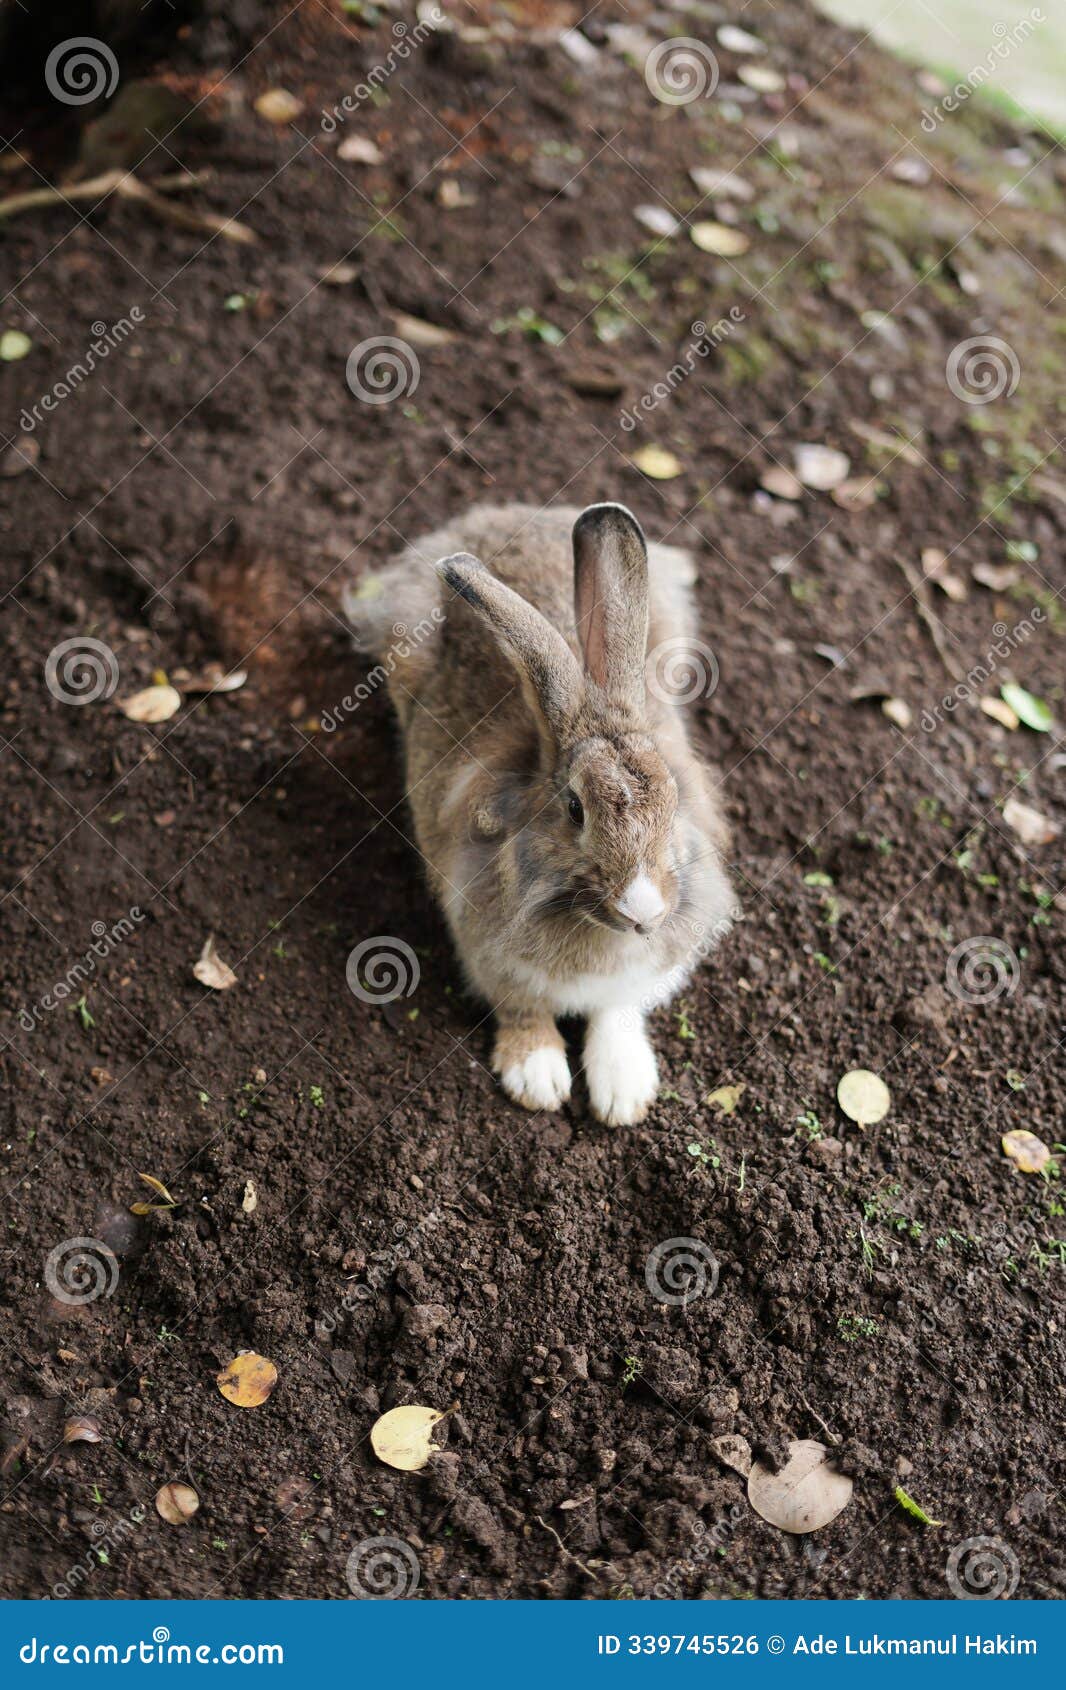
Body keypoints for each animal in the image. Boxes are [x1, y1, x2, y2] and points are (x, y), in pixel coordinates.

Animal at [344, 502, 736, 1126]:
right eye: (575, 809)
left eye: (676, 799)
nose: (644, 910)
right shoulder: (487, 948)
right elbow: (522, 1008)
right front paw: (536, 1078)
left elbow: (618, 1011)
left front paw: (623, 1092)